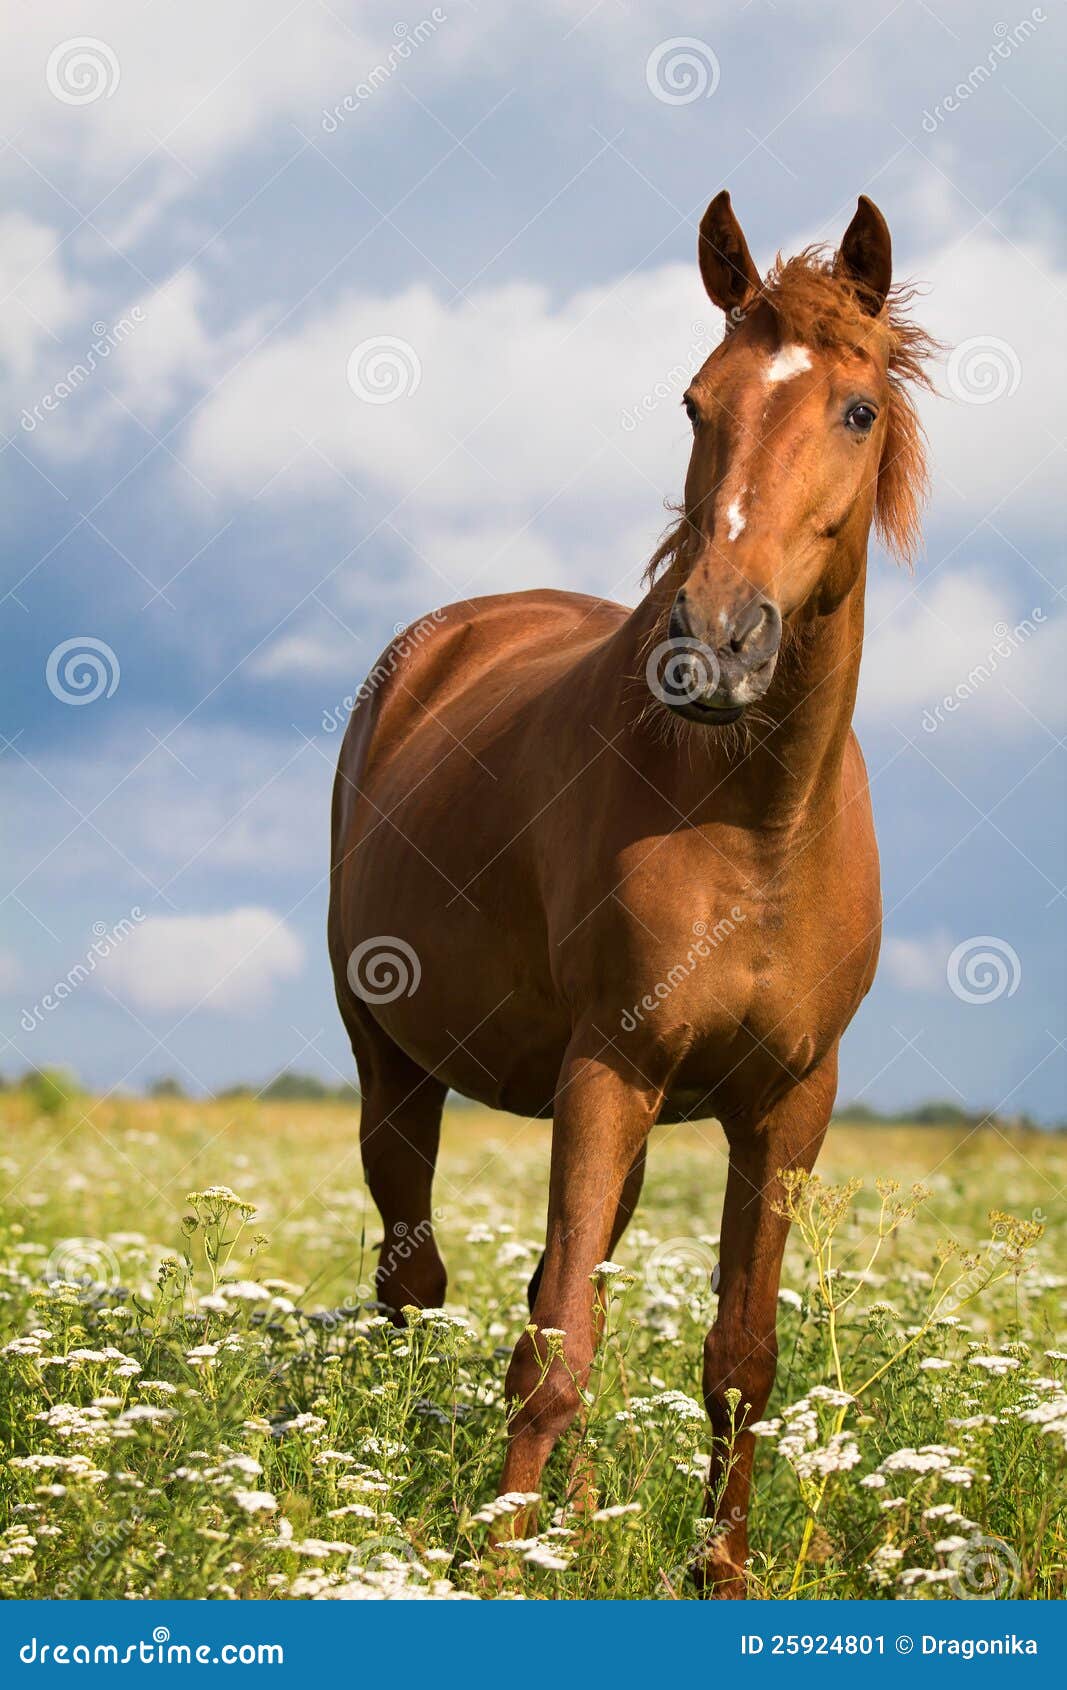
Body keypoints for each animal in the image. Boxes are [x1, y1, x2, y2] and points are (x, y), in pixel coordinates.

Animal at [328, 190, 936, 1595]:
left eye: (855, 410)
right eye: (694, 401)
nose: (711, 646)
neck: (752, 820)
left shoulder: (785, 1103)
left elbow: (737, 1362)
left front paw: (721, 1573)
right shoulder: (604, 1070)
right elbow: (552, 1349)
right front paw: (499, 1565)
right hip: (397, 1066)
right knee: (414, 1280)